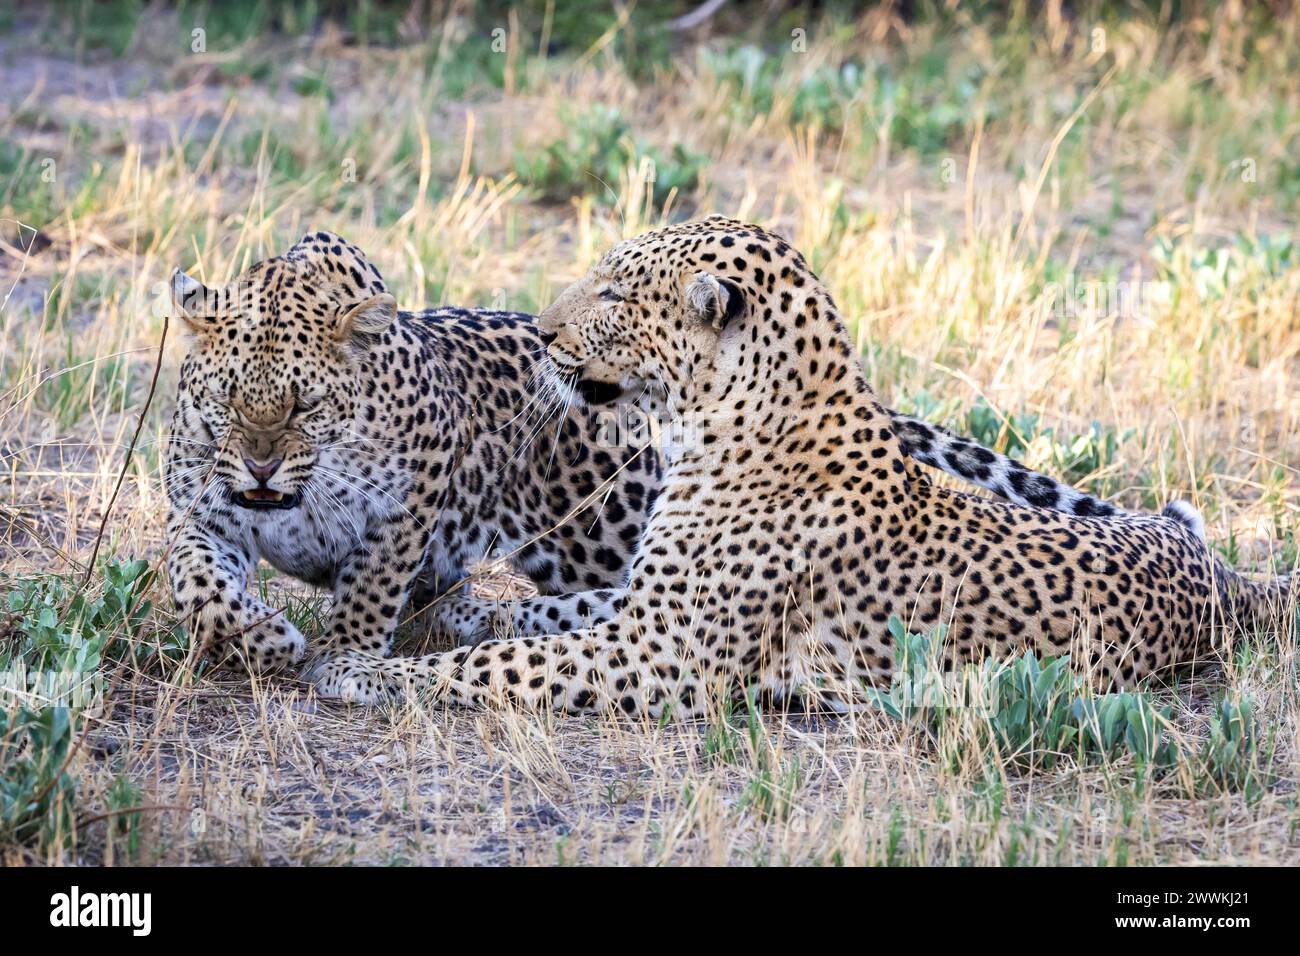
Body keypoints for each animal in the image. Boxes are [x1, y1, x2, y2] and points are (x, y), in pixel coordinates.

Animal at [164, 230, 1111, 674]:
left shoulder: (408, 502)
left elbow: (369, 586)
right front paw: (262, 639)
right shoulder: (199, 508)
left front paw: (348, 652)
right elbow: (197, 579)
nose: (259, 467)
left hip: (601, 530)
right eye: (225, 403)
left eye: (304, 404)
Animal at [307, 217, 1292, 711]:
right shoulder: (646, 612)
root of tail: (1224, 578)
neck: (714, 428)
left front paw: (367, 674)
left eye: (615, 294)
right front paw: (458, 613)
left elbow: (503, 668)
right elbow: (546, 617)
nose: (543, 334)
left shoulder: (663, 656)